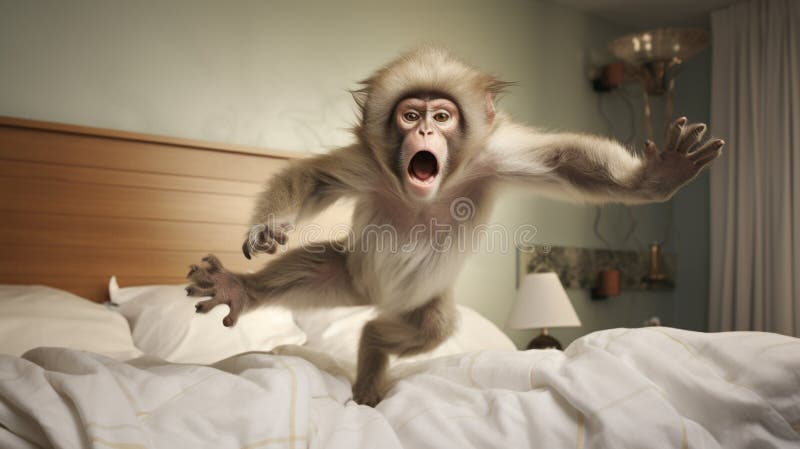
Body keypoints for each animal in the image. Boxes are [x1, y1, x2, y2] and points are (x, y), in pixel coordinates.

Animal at [185, 47, 724, 406]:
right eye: (410, 114)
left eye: (441, 115)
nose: (425, 130)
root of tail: (379, 298)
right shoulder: (370, 164)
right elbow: (313, 177)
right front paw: (268, 225)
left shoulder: (493, 156)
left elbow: (562, 162)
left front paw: (654, 177)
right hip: (352, 277)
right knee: (316, 271)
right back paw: (244, 290)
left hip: (420, 299)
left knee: (429, 327)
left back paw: (373, 343)